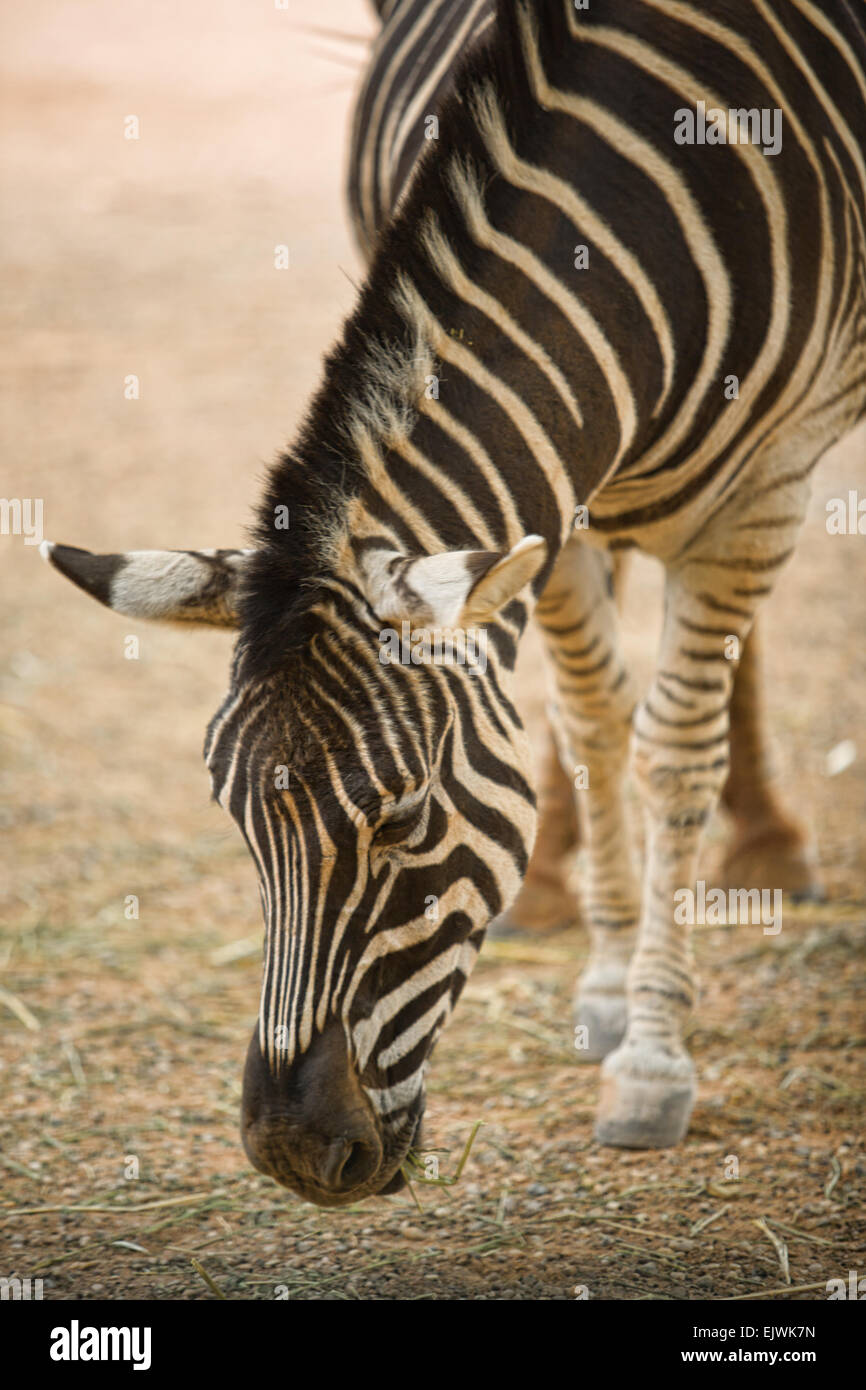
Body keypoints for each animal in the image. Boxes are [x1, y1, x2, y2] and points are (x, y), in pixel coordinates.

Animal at [42, 0, 866, 1208]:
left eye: (403, 823)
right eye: (239, 825)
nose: (293, 1154)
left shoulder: (763, 488)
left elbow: (673, 752)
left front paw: (653, 1061)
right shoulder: (553, 502)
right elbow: (593, 720)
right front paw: (612, 980)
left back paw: (765, 845)